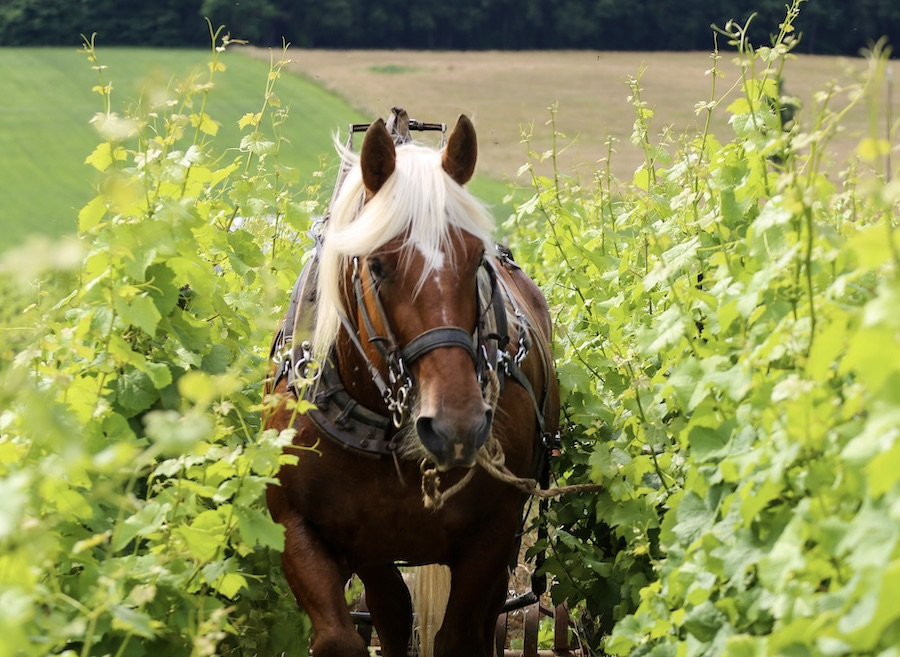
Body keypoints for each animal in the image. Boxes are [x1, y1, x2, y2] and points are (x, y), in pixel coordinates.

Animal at [264, 112, 559, 657]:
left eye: (476, 259)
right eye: (378, 264)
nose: (456, 427)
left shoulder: (492, 535)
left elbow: (458, 637)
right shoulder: (301, 527)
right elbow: (345, 636)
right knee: (393, 613)